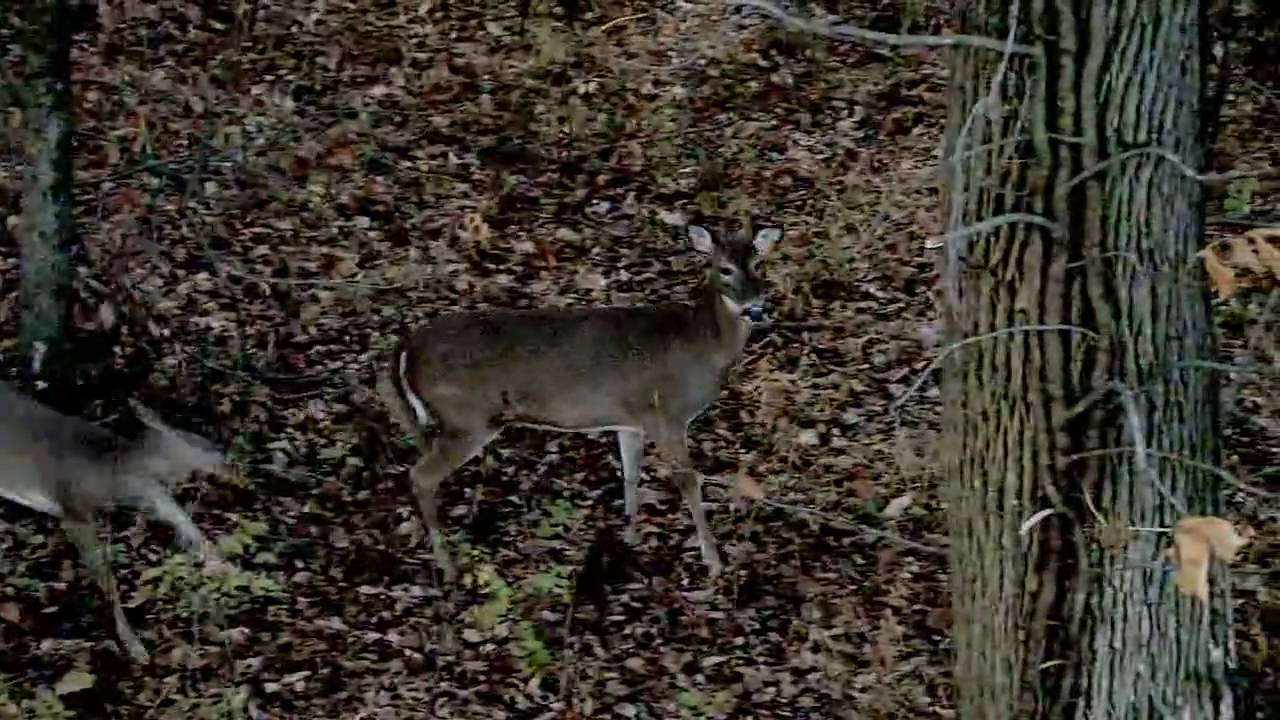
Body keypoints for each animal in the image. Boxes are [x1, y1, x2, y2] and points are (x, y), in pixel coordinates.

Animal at [0, 382, 225, 662]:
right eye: (196, 441)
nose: (224, 454)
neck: (109, 470)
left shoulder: (141, 489)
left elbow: (180, 516)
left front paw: (223, 563)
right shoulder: (73, 510)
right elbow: (107, 579)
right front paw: (134, 646)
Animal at [379, 223, 781, 582]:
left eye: (758, 263)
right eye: (724, 268)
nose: (755, 306)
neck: (702, 344)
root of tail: (405, 348)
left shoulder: (631, 419)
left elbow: (631, 474)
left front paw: (629, 538)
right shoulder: (668, 414)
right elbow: (689, 483)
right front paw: (713, 562)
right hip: (468, 419)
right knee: (420, 476)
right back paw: (447, 567)